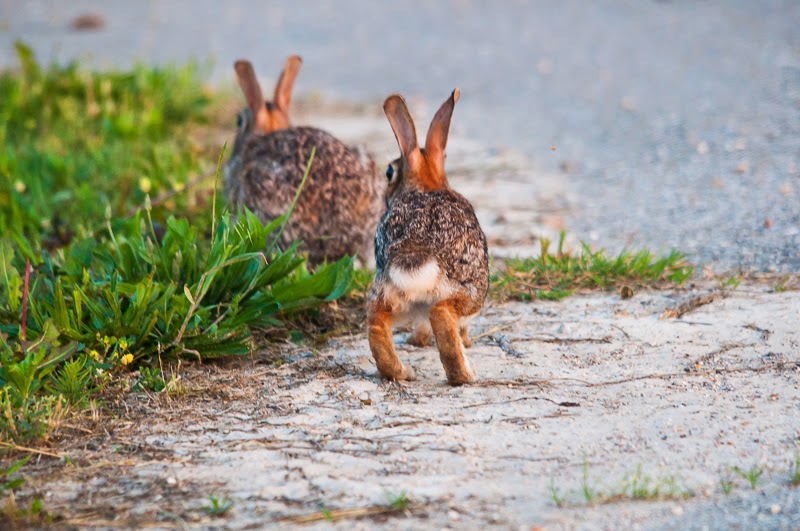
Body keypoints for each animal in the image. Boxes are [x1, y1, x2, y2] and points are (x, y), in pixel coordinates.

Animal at [367, 89, 489, 386]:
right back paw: (466, 375)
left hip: (387, 292)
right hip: (468, 290)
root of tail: (414, 250)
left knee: (376, 325)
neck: (426, 185)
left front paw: (416, 341)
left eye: (389, 172)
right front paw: (467, 342)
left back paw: (402, 372)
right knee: (442, 315)